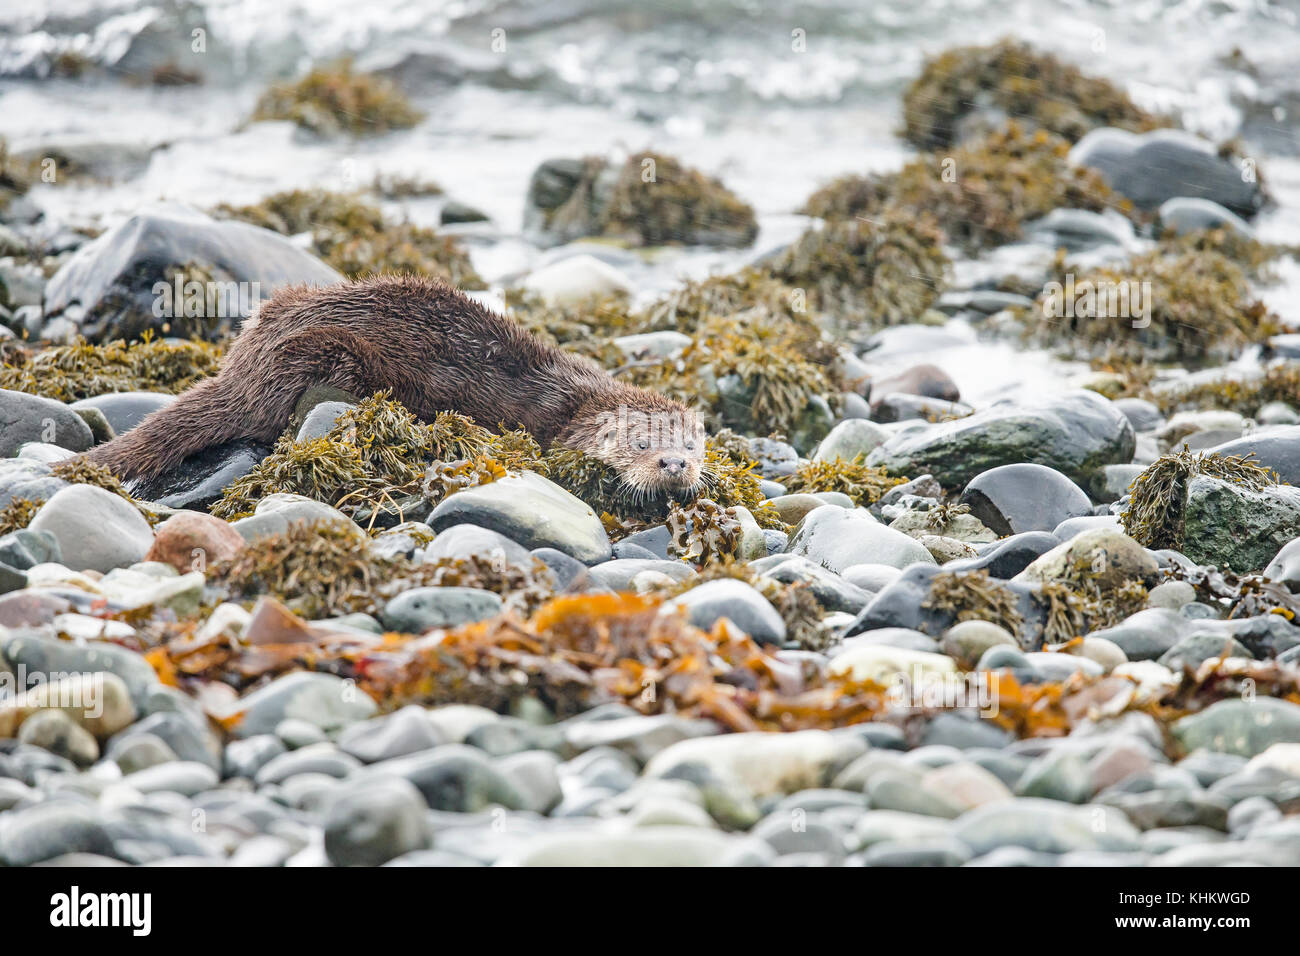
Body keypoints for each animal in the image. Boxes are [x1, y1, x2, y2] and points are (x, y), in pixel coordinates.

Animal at [86, 275, 707, 498]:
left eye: (691, 445)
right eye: (641, 444)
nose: (674, 464)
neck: (577, 402)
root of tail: (245, 364)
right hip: (327, 356)